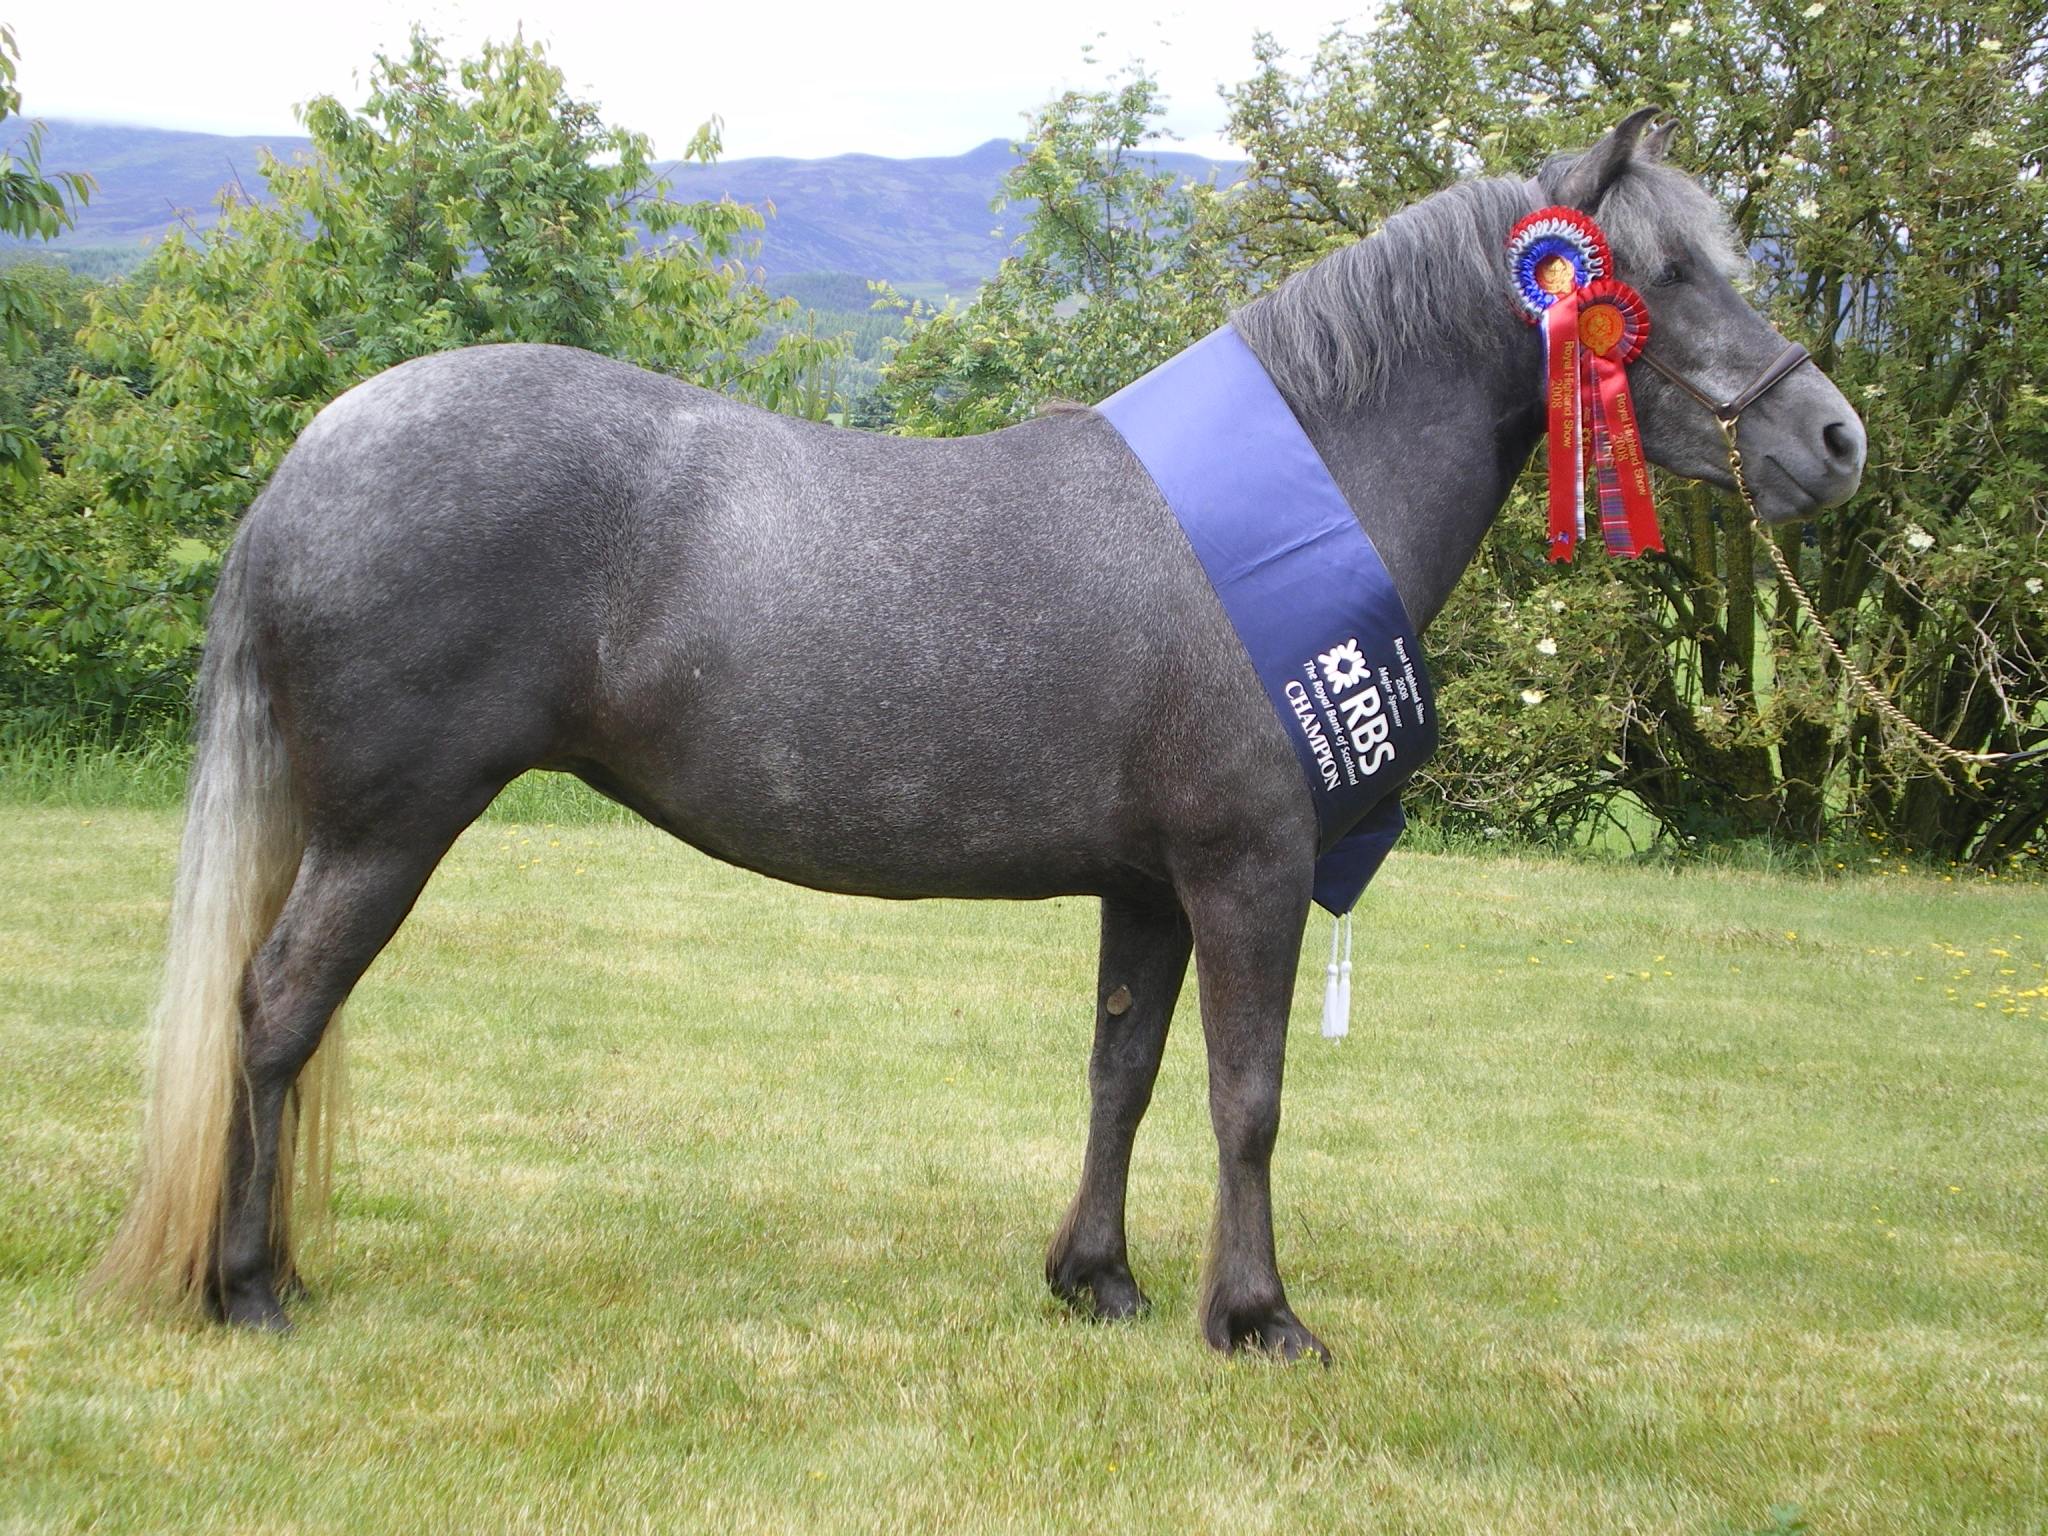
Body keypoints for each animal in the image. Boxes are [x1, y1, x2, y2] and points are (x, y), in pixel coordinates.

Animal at [95, 110, 1865, 1359]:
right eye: (1662, 277)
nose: (1834, 438)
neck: (1291, 496)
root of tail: (315, 451)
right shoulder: (1248, 869)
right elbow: (1248, 1093)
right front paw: (1259, 1319)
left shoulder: (1149, 888)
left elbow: (1123, 1075)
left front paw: (1100, 1282)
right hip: (388, 831)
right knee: (274, 1014)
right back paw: (250, 1291)